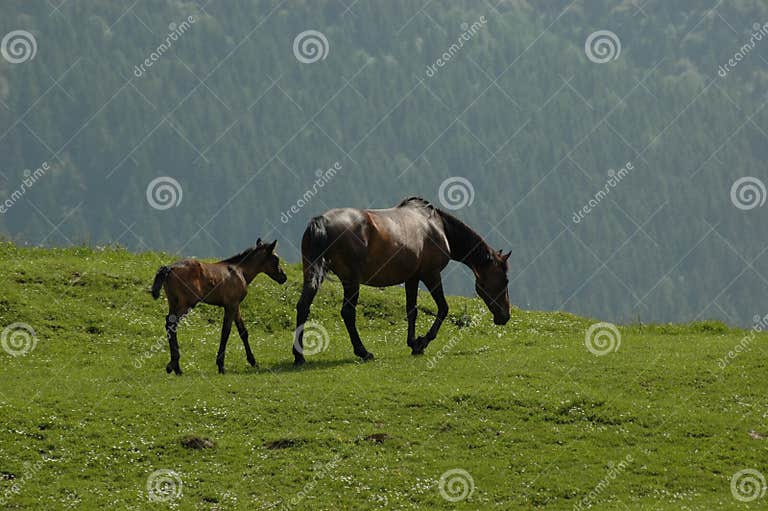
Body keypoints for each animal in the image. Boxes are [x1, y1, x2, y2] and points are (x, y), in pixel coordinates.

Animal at [150, 239, 287, 375]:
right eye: (276, 259)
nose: (284, 277)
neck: (240, 271)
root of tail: (169, 268)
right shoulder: (231, 305)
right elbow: (225, 332)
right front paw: (221, 365)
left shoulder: (236, 306)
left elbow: (243, 332)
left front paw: (253, 361)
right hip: (186, 304)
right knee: (171, 323)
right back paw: (174, 366)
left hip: (173, 302)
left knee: (170, 324)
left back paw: (175, 366)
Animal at [292, 197, 510, 365]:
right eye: (505, 280)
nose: (505, 316)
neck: (439, 227)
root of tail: (321, 222)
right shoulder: (431, 274)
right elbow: (443, 308)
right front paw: (423, 342)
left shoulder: (412, 277)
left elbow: (411, 310)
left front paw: (413, 343)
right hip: (351, 281)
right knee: (347, 313)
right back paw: (363, 352)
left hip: (313, 274)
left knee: (303, 306)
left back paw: (299, 356)